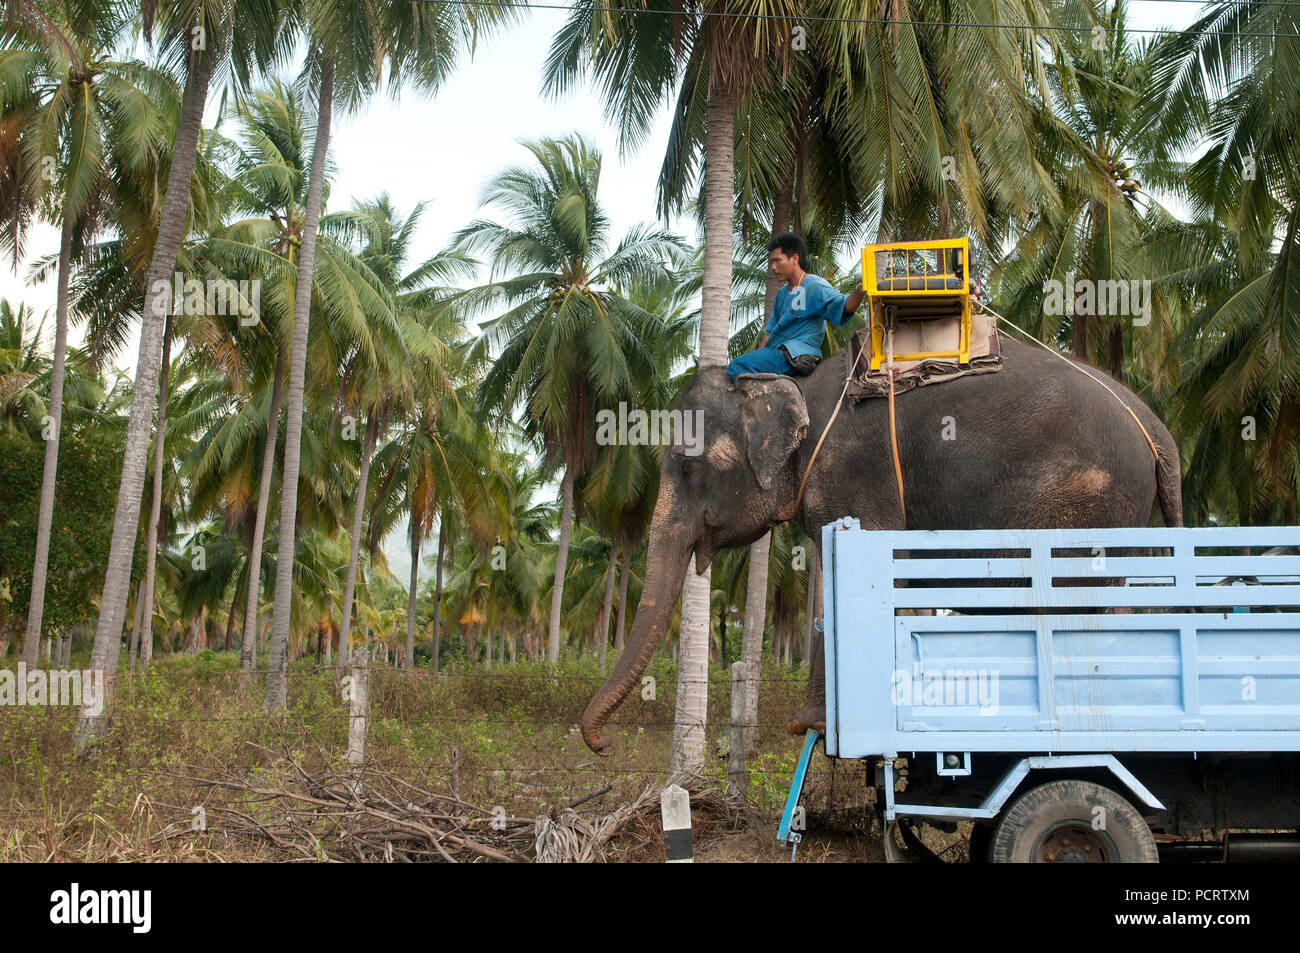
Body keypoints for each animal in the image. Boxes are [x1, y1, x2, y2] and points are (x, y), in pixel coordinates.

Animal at [579, 336, 1184, 756]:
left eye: (685, 468)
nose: (603, 744)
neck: (795, 386)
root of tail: (1156, 426)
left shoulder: (856, 473)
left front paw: (812, 726)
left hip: (1080, 504)